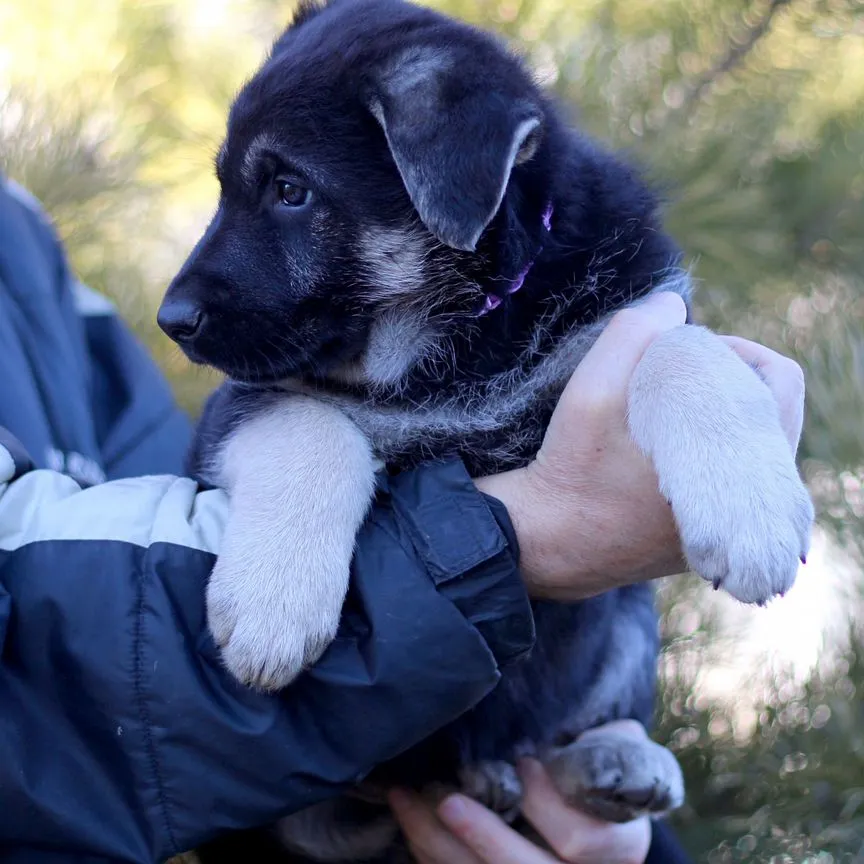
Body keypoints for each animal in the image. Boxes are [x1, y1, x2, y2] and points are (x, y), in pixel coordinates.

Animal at [159, 0, 812, 852]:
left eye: (290, 189)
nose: (170, 321)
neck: (467, 329)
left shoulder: (631, 316)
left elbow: (681, 348)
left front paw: (752, 516)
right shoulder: (238, 405)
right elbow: (309, 426)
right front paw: (275, 604)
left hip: (627, 625)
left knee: (564, 730)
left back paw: (612, 761)